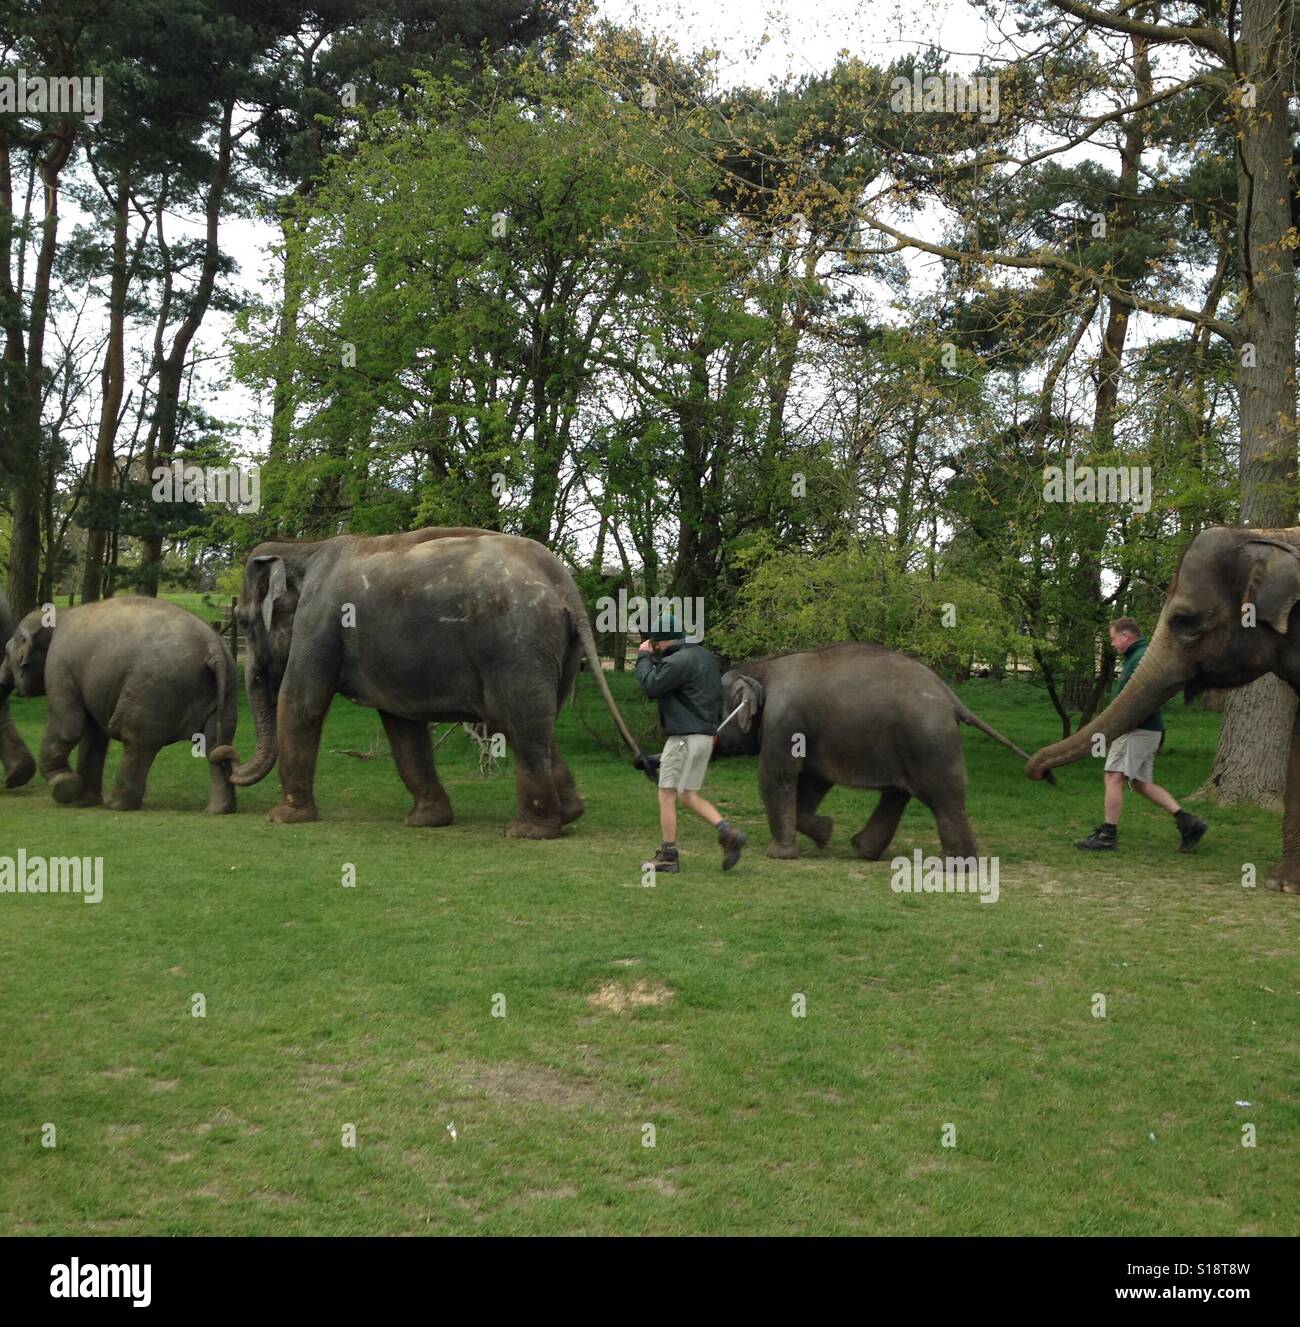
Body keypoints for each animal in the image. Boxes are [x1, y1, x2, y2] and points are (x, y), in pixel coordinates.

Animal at [1, 596, 237, 813]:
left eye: (5, 652)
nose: (9, 779)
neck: (61, 613)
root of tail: (213, 645)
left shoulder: (59, 665)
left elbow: (68, 727)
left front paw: (64, 786)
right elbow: (93, 735)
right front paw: (83, 802)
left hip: (155, 689)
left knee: (136, 739)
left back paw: (116, 805)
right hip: (222, 690)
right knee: (216, 744)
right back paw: (218, 810)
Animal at [210, 527, 643, 836]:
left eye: (244, 621)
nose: (223, 755)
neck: (305, 547)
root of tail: (565, 587)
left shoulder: (318, 622)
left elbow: (302, 703)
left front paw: (282, 818)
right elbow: (401, 722)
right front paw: (426, 821)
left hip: (515, 645)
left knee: (517, 720)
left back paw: (527, 831)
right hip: (555, 652)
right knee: (535, 722)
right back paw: (569, 814)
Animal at [716, 641, 1043, 859]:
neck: (762, 667)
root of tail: (951, 698)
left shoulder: (783, 721)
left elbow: (777, 775)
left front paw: (779, 854)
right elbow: (814, 782)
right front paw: (825, 833)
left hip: (930, 740)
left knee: (943, 795)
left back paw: (954, 864)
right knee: (900, 793)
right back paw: (862, 849)